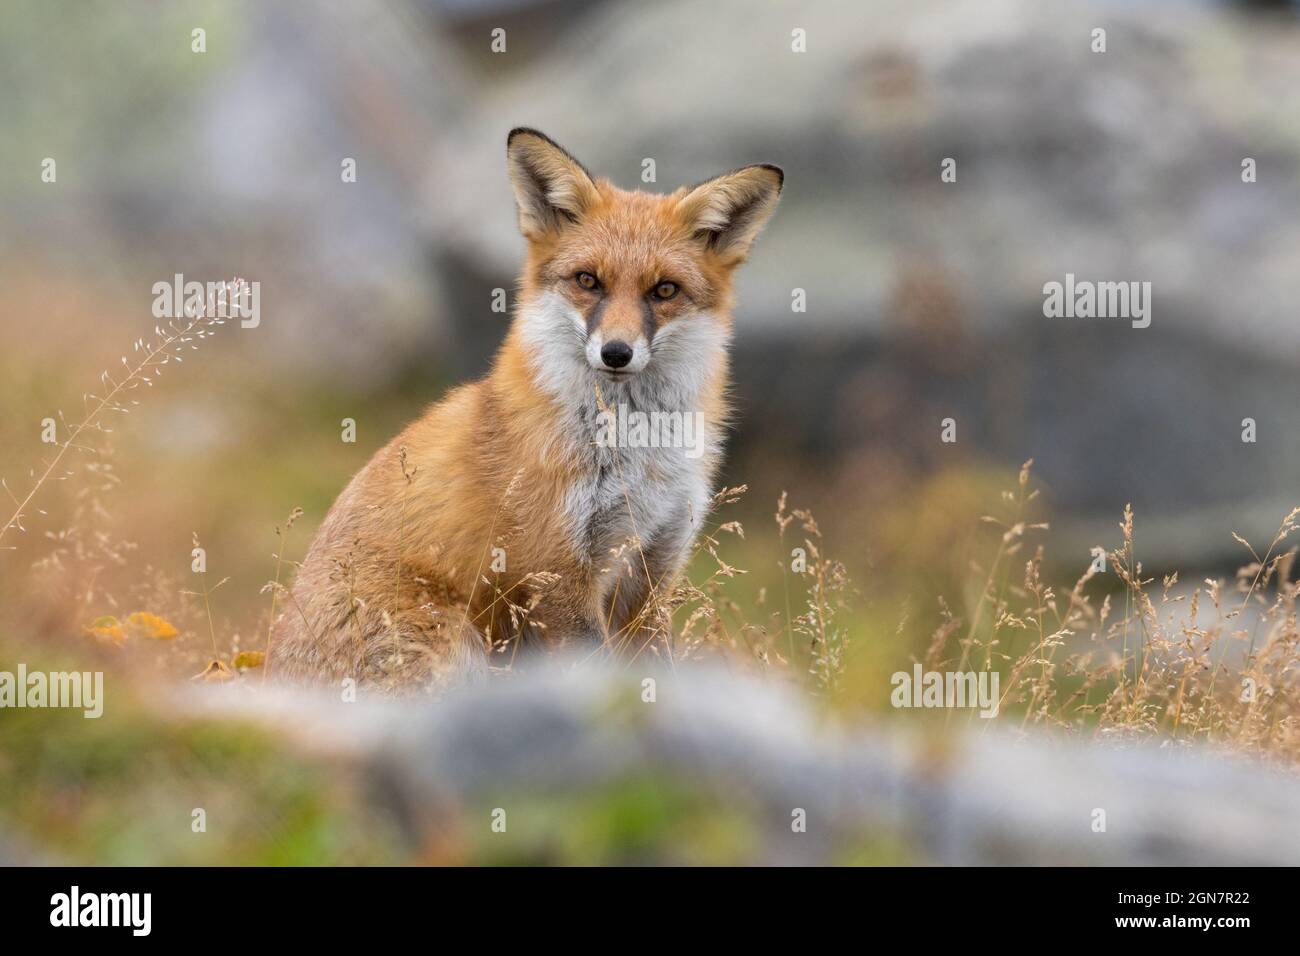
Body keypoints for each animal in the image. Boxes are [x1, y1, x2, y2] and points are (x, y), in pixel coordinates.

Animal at [268, 128, 782, 689]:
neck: (635, 456)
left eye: (664, 290)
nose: (616, 352)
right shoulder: (556, 571)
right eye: (588, 281)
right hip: (450, 641)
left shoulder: (651, 571)